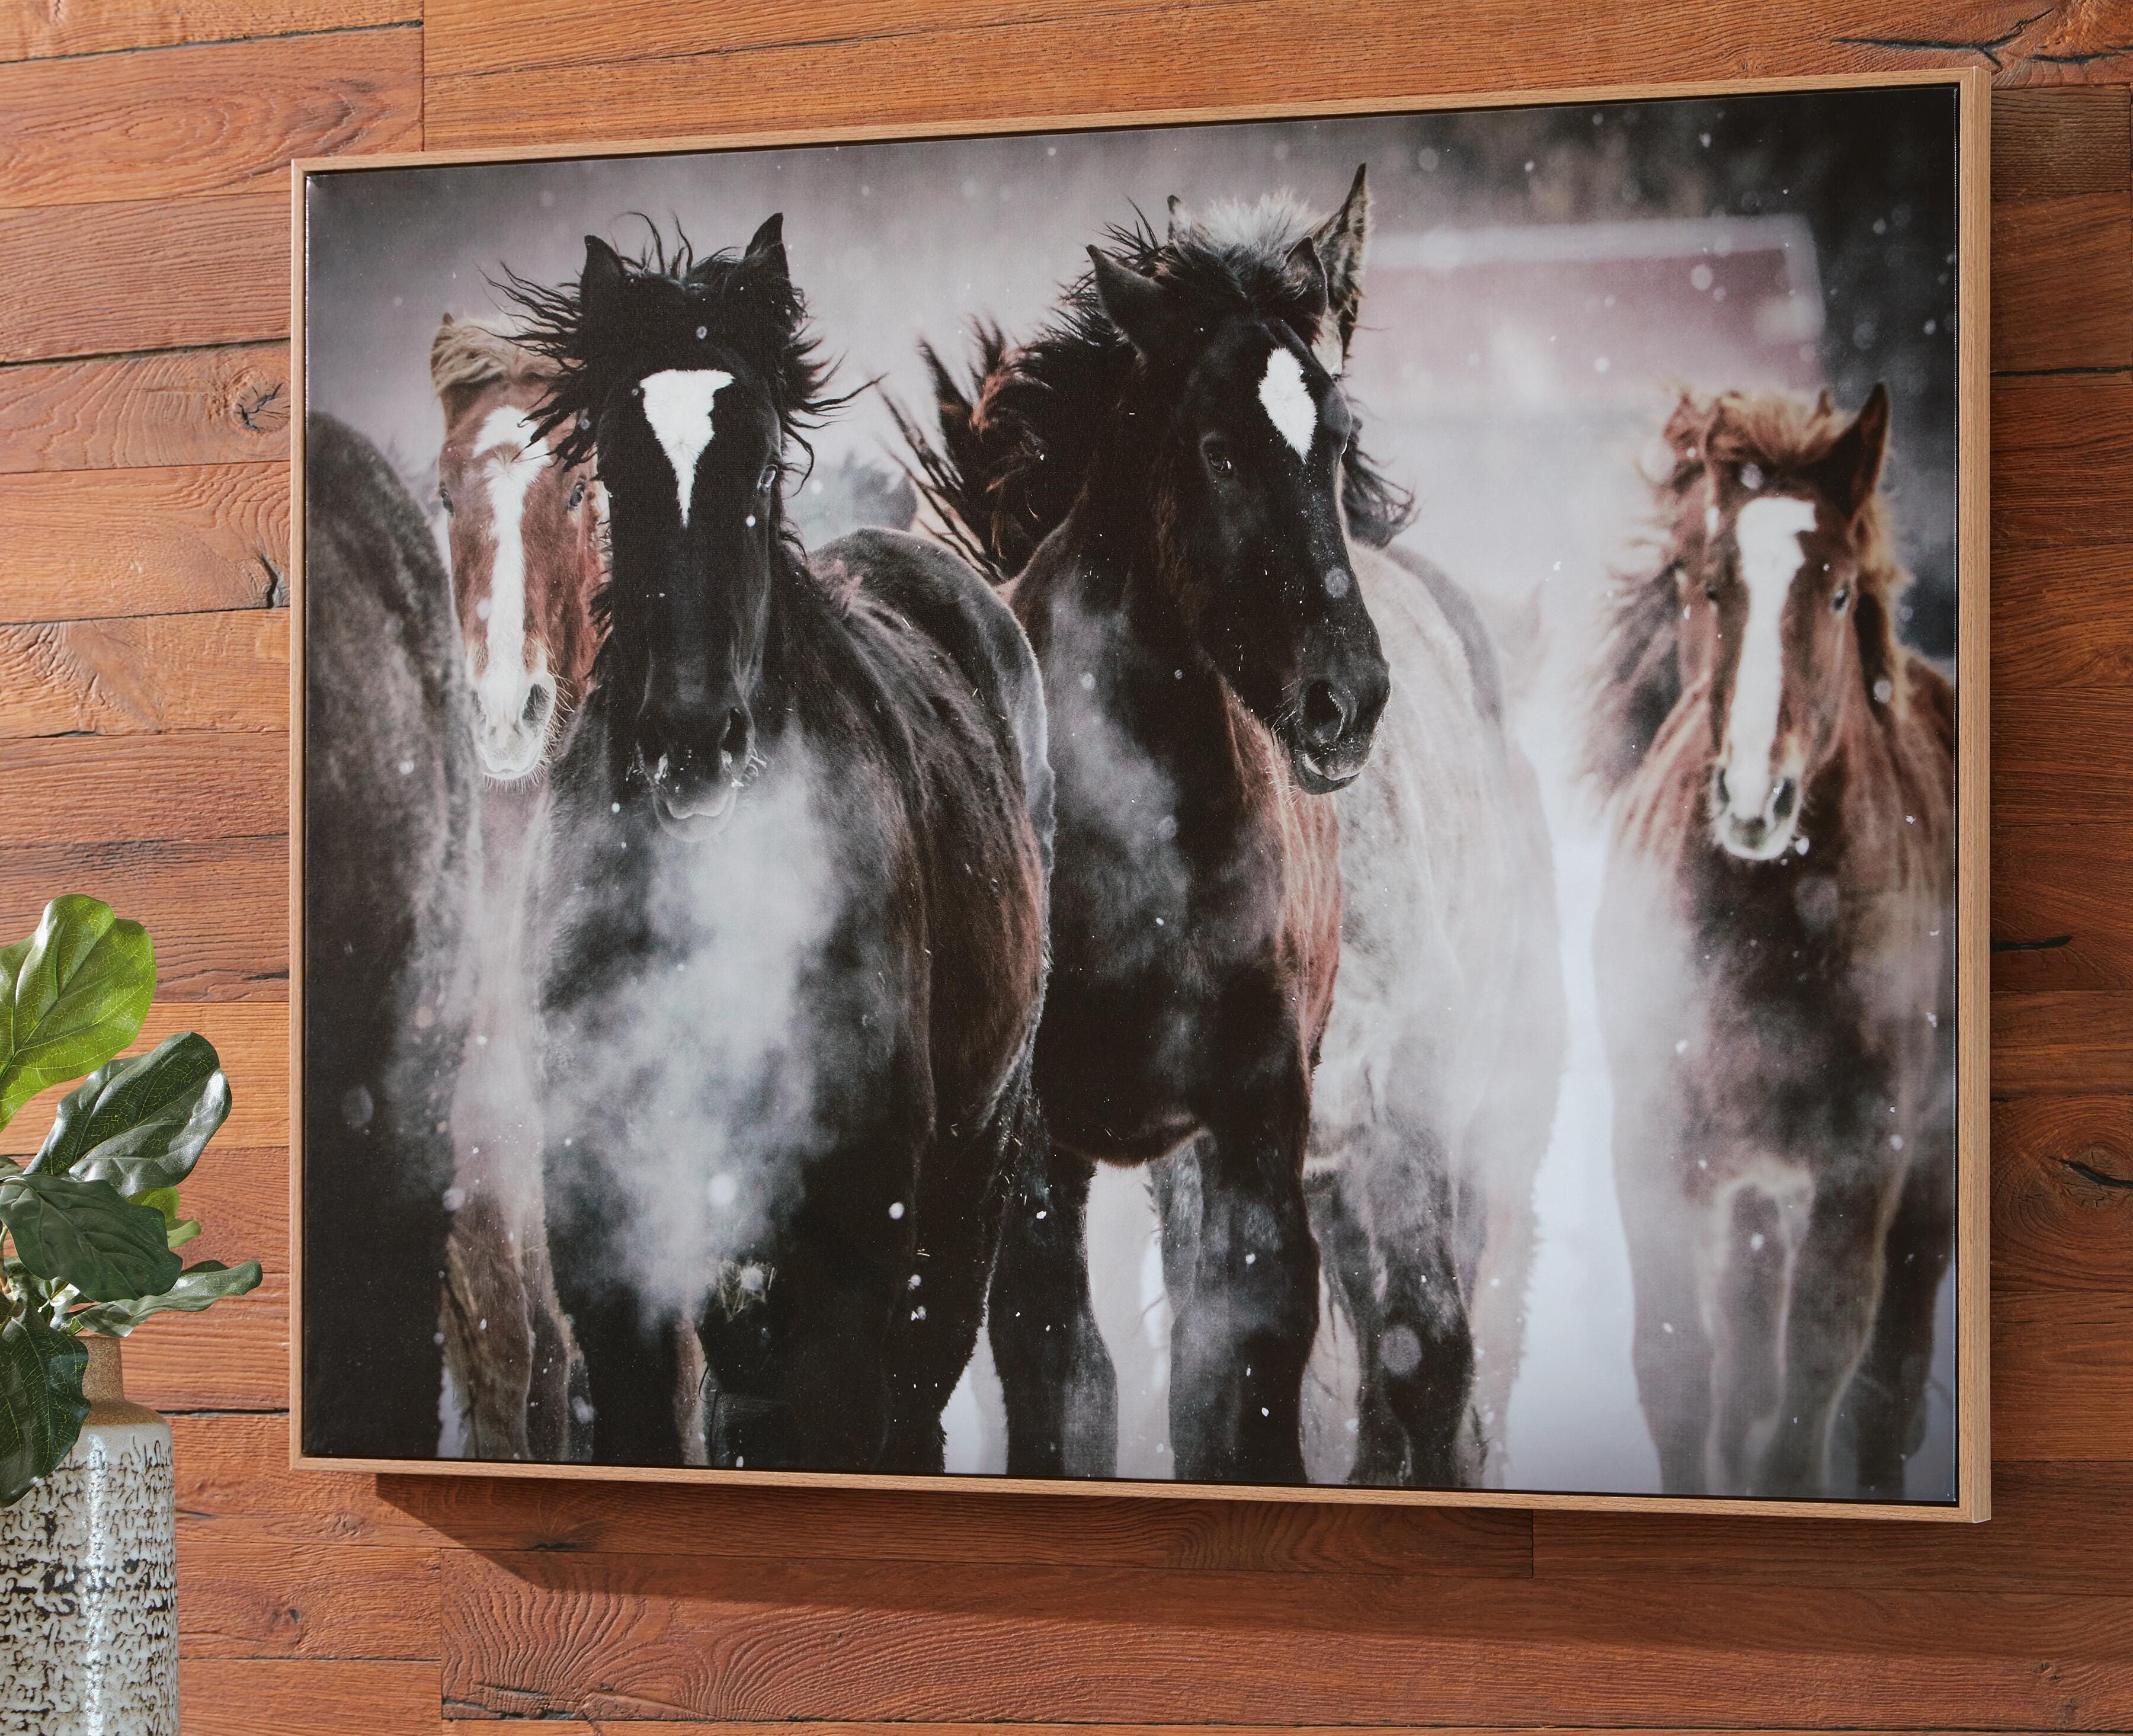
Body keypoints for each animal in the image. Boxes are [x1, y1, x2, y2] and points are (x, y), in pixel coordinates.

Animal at [503, 217, 1053, 1471]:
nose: (691, 739)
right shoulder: (610, 1249)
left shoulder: (850, 1245)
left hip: (974, 1173)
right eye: (615, 471)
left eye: (756, 467)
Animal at [903, 171, 1565, 1487]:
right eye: (1213, 448)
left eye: (1339, 439)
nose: (1342, 697)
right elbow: (1078, 1378)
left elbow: (1299, 1371)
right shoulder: (1052, 1145)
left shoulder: (1301, 1115)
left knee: (1431, 1358)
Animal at [1586, 384, 1956, 1499]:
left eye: (1835, 594)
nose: (1755, 798)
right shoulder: (1657, 1152)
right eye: (1712, 584)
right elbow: (1683, 1376)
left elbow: (1816, 1392)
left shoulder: (1862, 1173)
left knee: (1884, 1387)